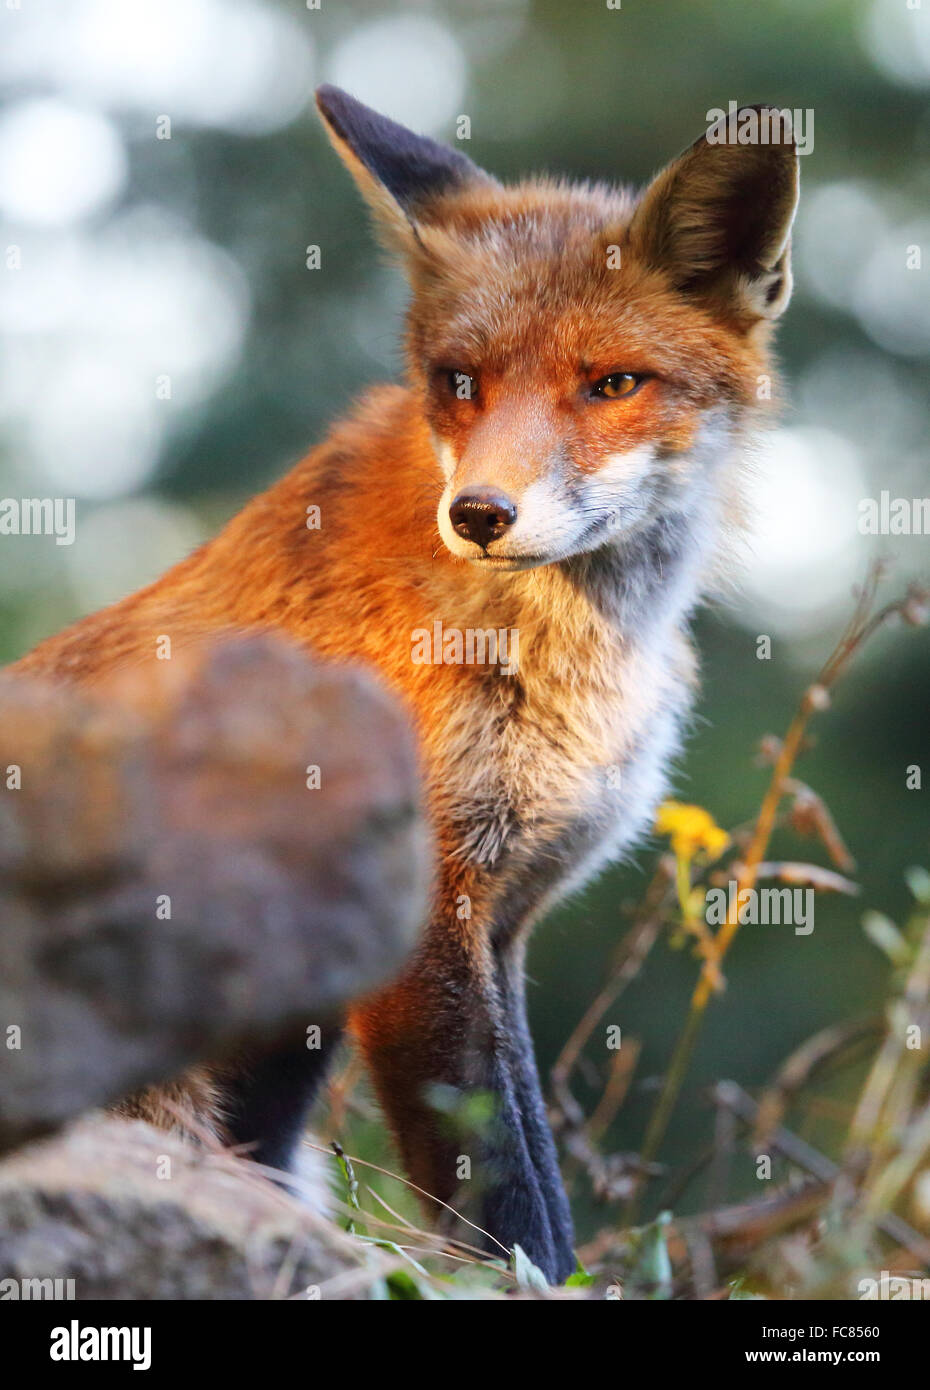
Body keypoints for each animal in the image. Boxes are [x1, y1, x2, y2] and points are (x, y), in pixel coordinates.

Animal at [10, 88, 798, 1283]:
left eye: (614, 383)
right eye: (460, 383)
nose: (479, 514)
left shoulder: (502, 917)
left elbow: (532, 1164)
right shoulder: (423, 919)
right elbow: (503, 1195)